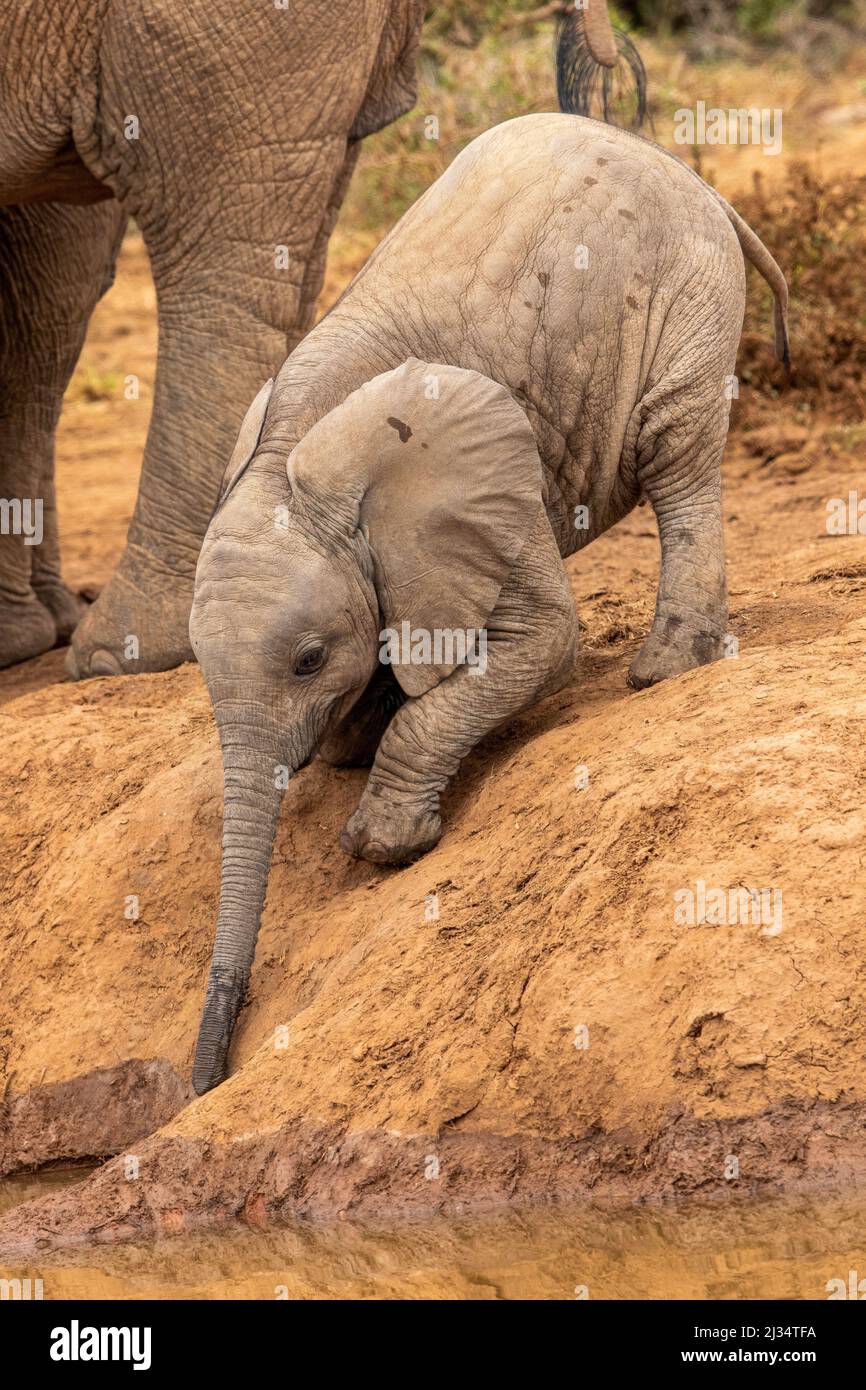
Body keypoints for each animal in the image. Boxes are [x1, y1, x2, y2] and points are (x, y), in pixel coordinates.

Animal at [187, 111, 789, 1093]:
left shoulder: (481, 491)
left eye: (309, 659)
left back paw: (666, 669)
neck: (294, 463)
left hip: (692, 295)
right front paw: (358, 731)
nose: (207, 1079)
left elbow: (546, 642)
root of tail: (693, 178)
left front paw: (382, 841)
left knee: (678, 451)